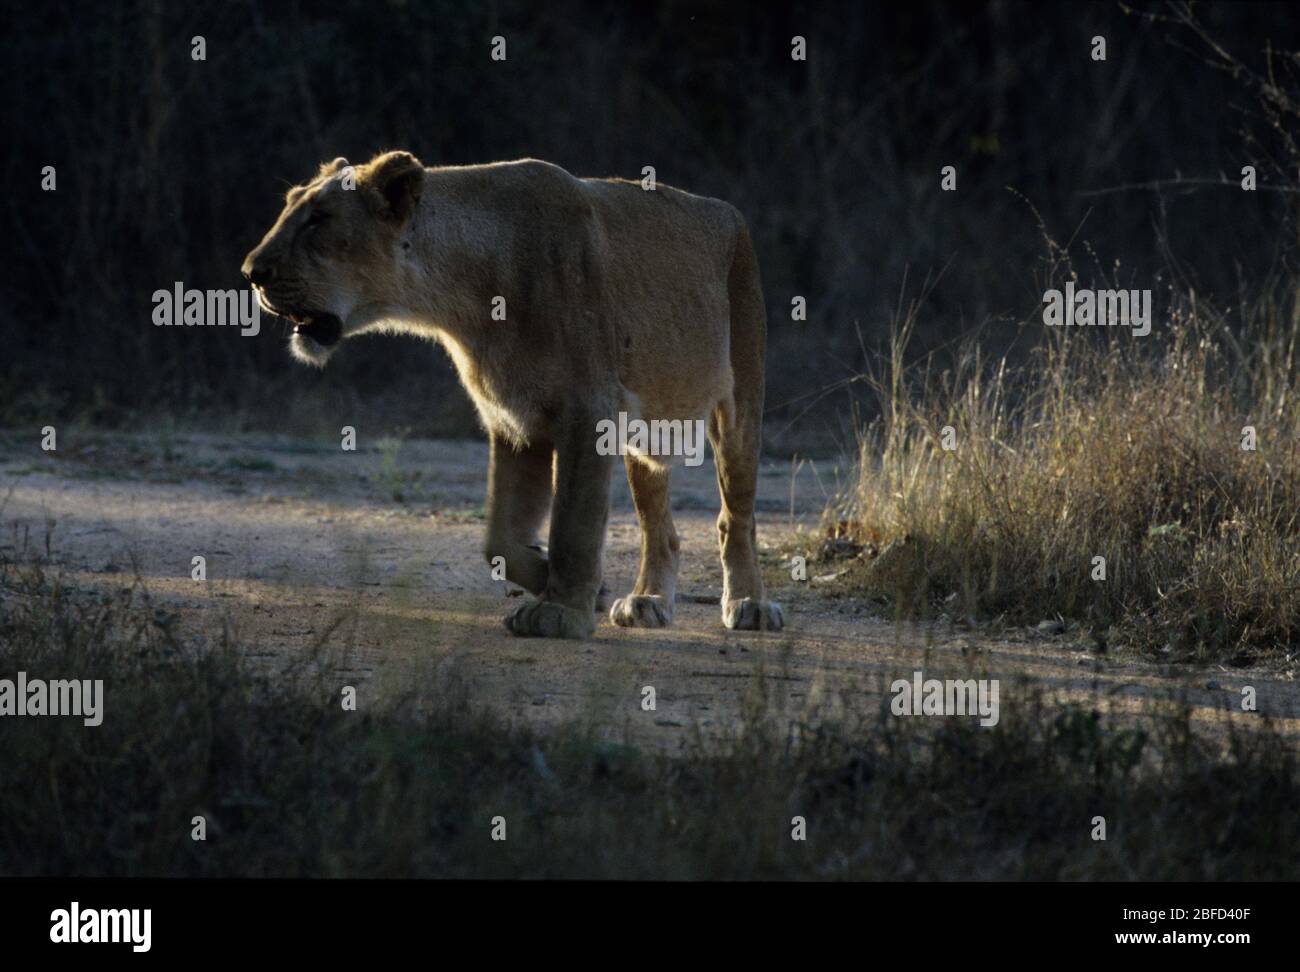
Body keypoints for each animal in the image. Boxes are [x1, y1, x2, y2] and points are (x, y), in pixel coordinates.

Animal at [242, 151, 784, 639]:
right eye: (290, 207)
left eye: (319, 218)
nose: (251, 272)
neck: (462, 304)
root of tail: (729, 213)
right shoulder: (514, 420)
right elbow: (498, 538)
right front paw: (573, 587)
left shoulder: (588, 410)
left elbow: (573, 523)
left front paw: (561, 613)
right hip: (644, 433)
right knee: (659, 526)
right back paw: (647, 601)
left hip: (740, 401)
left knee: (736, 515)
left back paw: (750, 605)